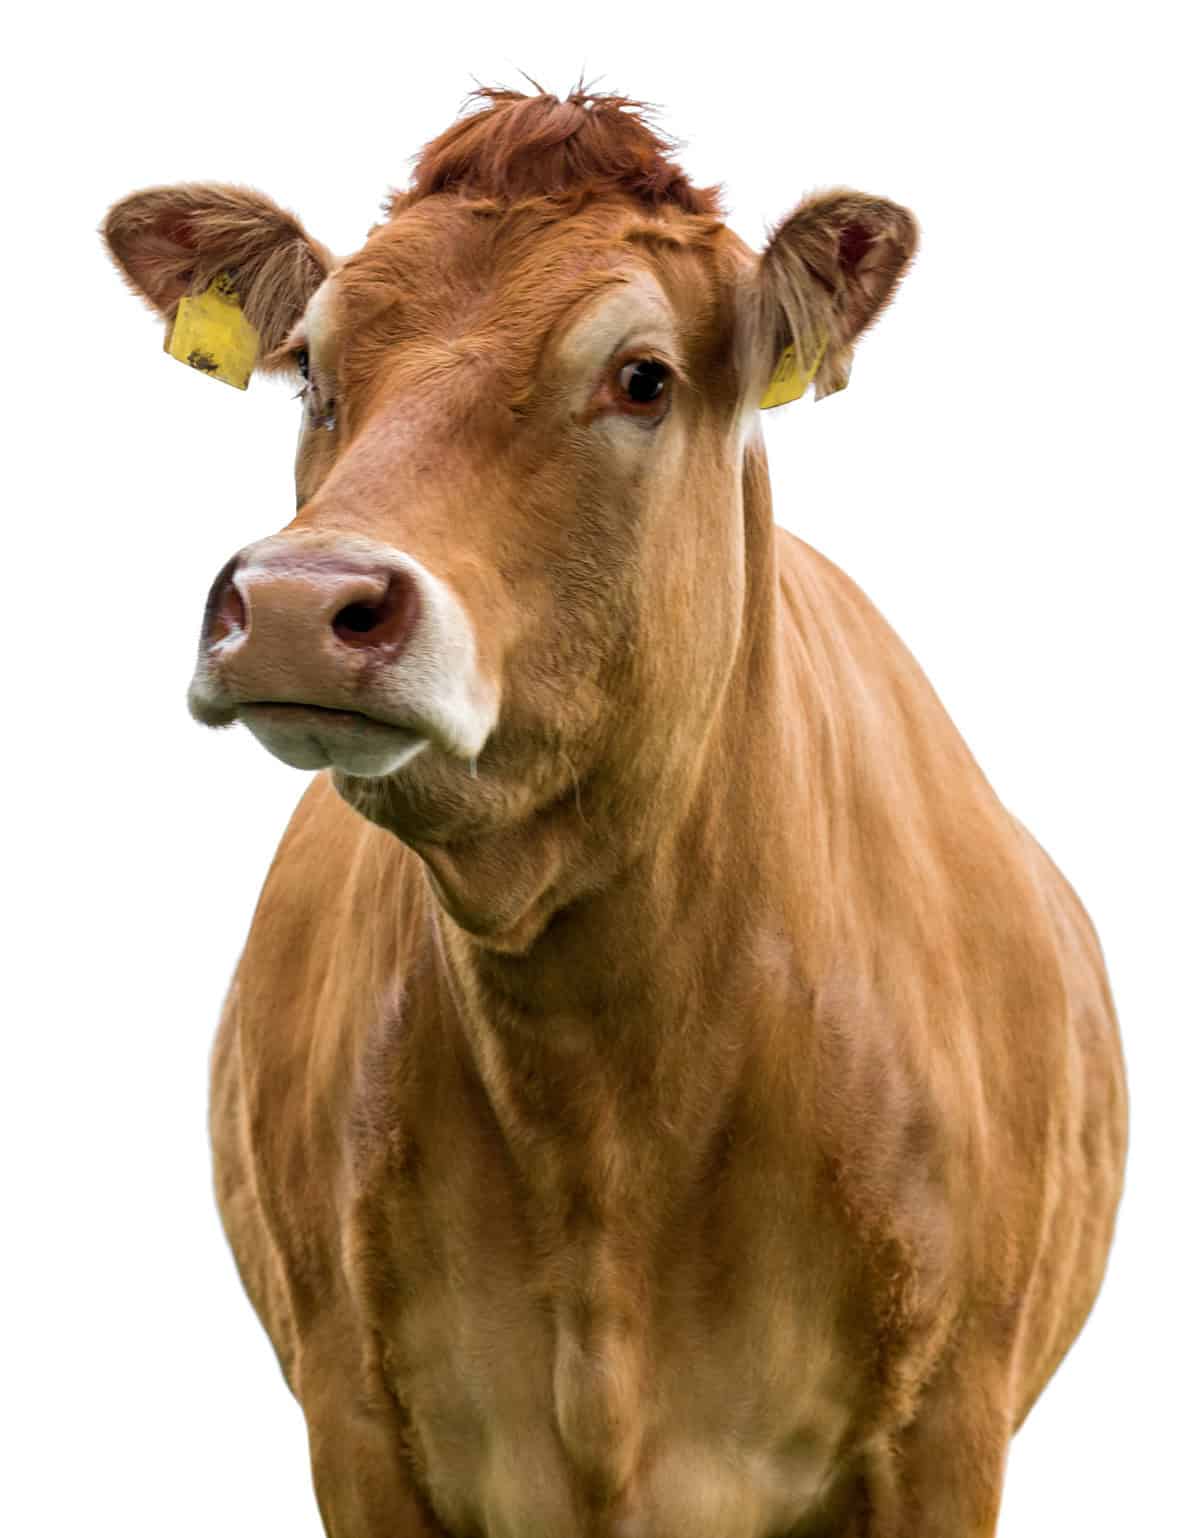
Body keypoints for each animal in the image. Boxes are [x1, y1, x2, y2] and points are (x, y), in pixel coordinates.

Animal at [104, 89, 1127, 1538]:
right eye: (308, 368)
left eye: (641, 376)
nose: (301, 604)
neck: (603, 1105)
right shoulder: (350, 1420)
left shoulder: (948, 1426)